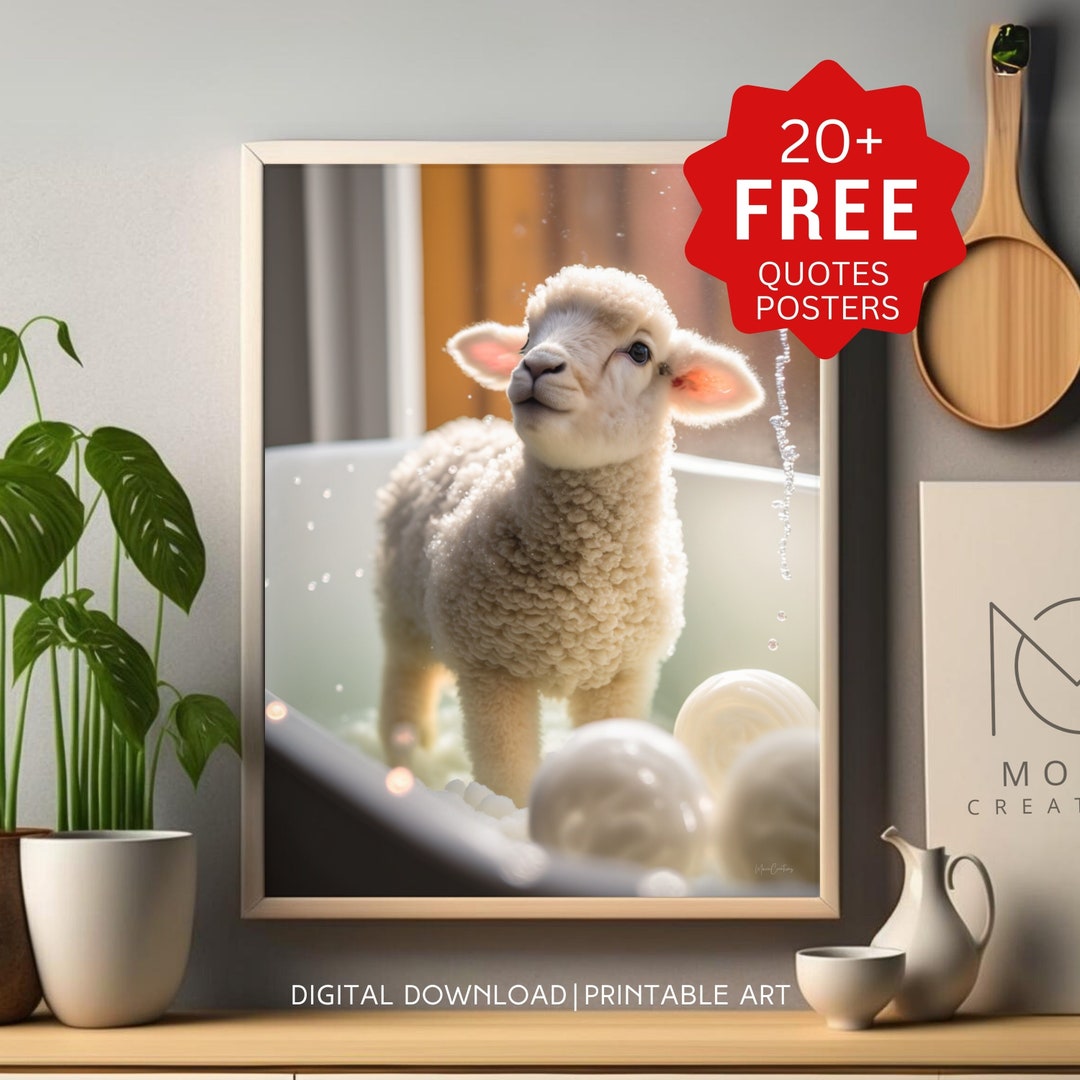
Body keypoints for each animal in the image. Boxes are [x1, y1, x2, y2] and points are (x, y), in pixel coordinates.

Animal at [375, 265, 764, 805]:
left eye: (640, 352)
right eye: (525, 340)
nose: (537, 365)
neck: (578, 597)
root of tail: (457, 428)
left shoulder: (623, 672)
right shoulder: (490, 668)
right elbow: (506, 766)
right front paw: (508, 810)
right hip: (401, 608)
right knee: (406, 682)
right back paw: (403, 759)